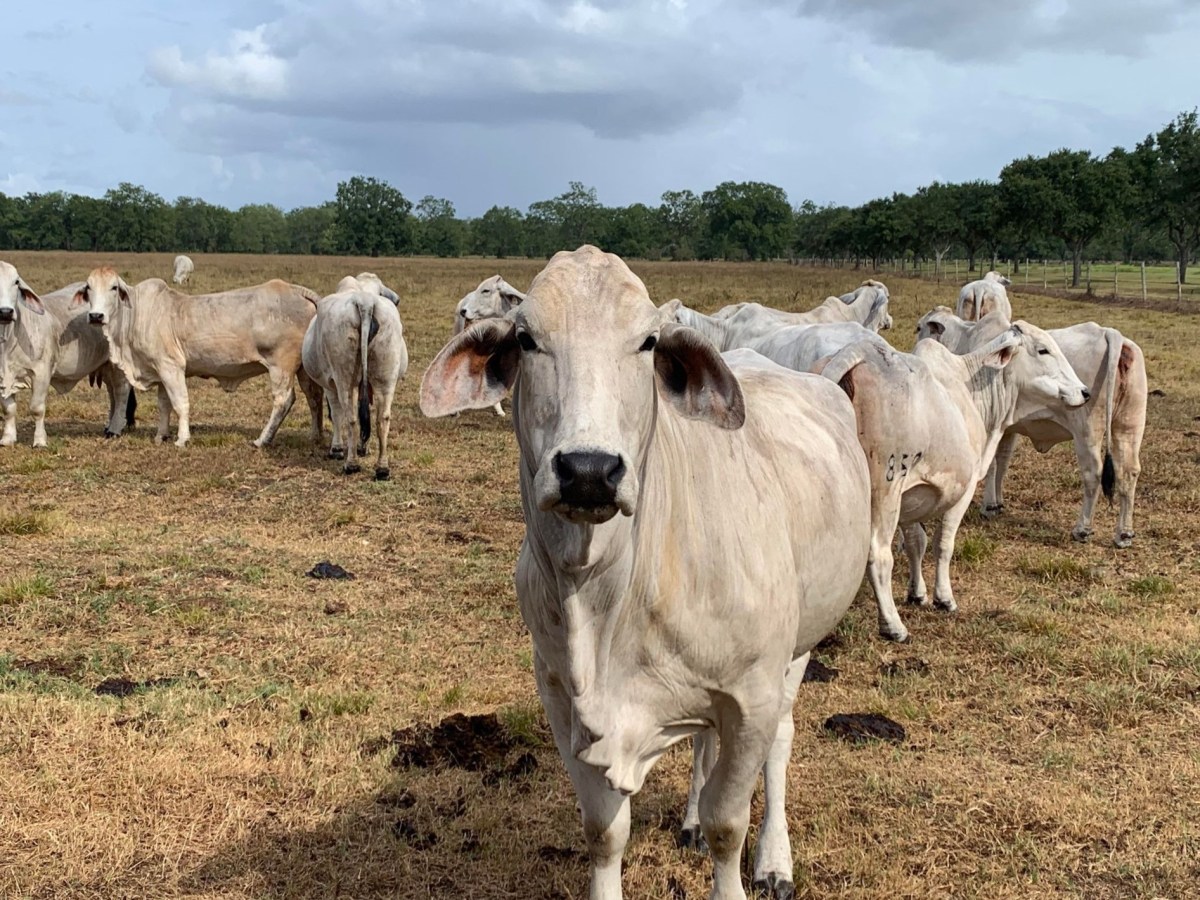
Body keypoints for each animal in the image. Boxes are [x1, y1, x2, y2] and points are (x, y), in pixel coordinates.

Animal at [0, 262, 135, 447]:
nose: (6, 312)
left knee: (121, 392)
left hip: (117, 365)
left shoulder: (41, 373)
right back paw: (110, 424)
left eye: (16, 282)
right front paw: (7, 438)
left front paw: (40, 440)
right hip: (105, 364)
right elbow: (8, 409)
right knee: (112, 392)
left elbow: (36, 408)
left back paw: (115, 429)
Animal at [74, 268, 323, 448]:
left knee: (283, 401)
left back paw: (263, 440)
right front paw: (161, 436)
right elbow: (164, 405)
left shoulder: (171, 367)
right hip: (303, 370)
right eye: (88, 287)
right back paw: (315, 435)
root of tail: (295, 290)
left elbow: (180, 403)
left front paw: (182, 439)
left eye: (114, 287)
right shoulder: (161, 371)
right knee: (314, 398)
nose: (96, 316)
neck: (136, 315)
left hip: (281, 366)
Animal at [302, 285, 407, 479]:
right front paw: (363, 447)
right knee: (382, 419)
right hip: (386, 379)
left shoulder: (330, 384)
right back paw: (382, 468)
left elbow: (337, 414)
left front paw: (336, 449)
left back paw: (351, 464)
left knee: (350, 418)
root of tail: (365, 303)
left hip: (345, 379)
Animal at [816, 322, 1088, 642]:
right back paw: (893, 626)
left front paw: (917, 593)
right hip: (885, 489)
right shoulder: (961, 490)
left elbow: (916, 543)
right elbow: (943, 544)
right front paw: (943, 598)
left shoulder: (911, 497)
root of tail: (860, 354)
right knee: (879, 555)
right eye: (1043, 350)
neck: (970, 388)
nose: (1085, 391)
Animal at [916, 306, 1147, 548]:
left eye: (919, 327)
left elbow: (992, 466)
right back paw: (1124, 533)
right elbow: (1003, 462)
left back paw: (1083, 529)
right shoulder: (1009, 428)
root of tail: (1110, 333)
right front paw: (997, 503)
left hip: (1087, 432)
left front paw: (989, 505)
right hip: (1129, 426)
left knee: (1093, 473)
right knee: (1129, 472)